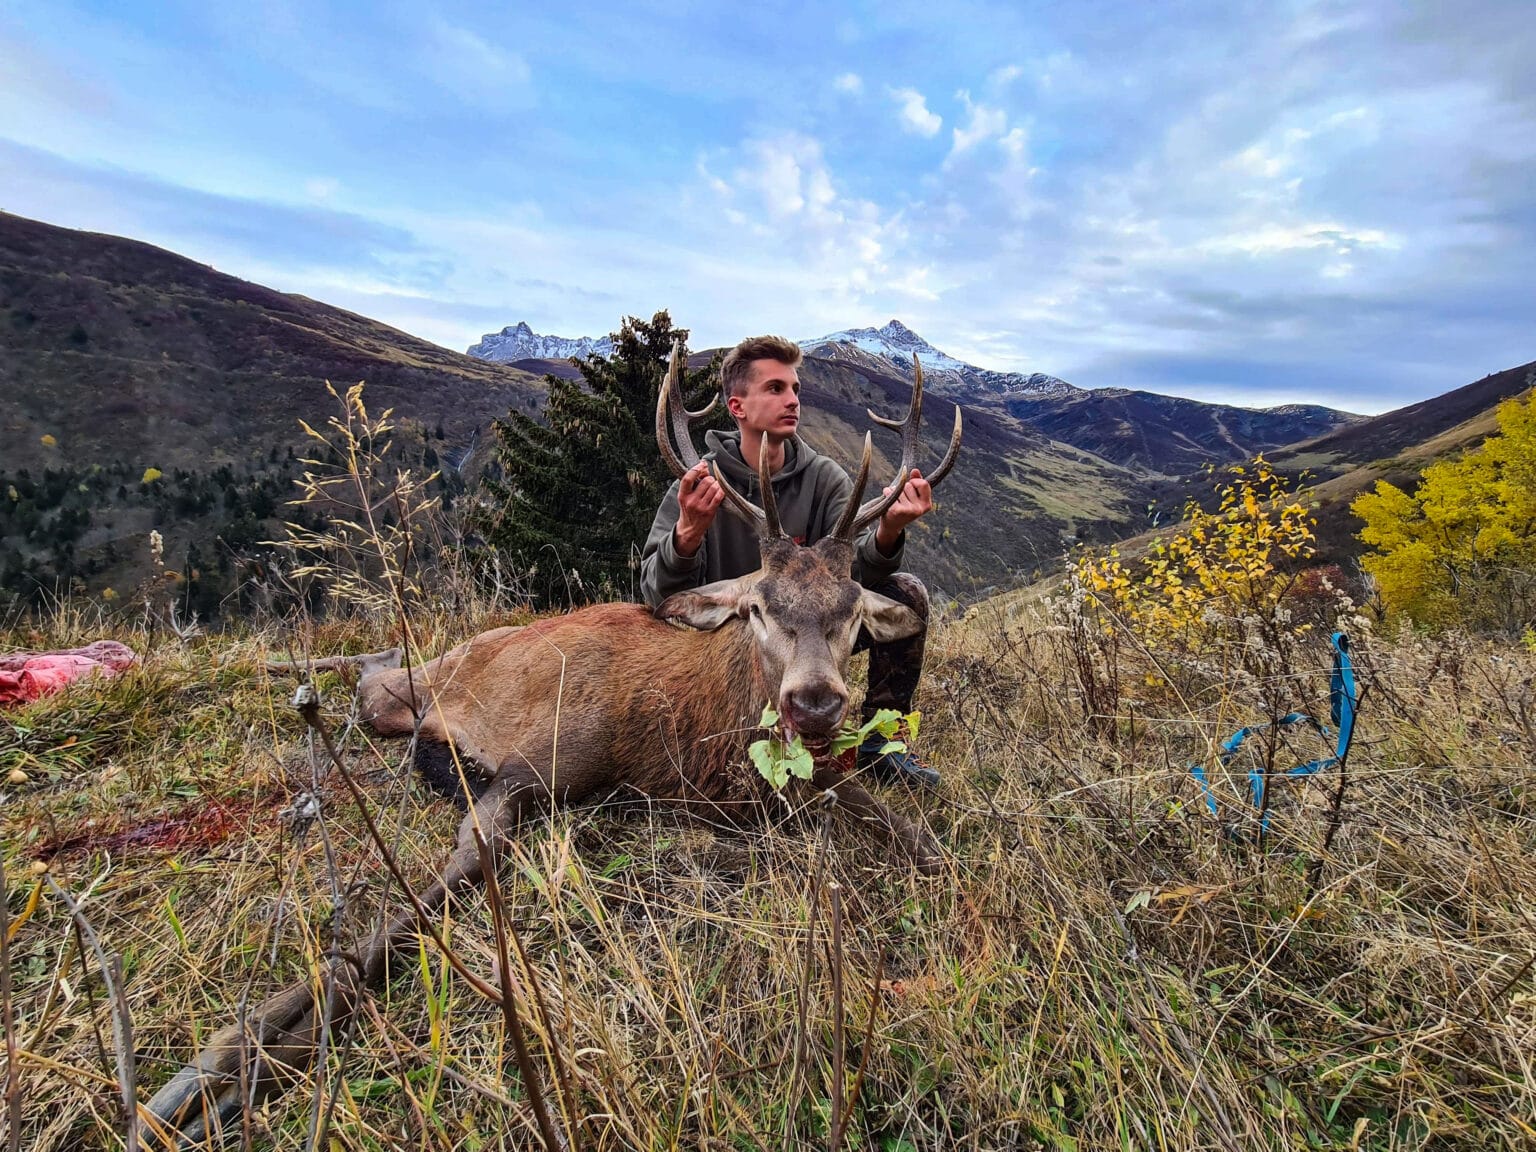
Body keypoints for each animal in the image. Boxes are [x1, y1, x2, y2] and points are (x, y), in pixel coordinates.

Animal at [143, 347, 962, 1145]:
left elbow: (922, 843)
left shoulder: (808, 777)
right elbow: (435, 895)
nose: (814, 701)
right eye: (758, 606)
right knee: (377, 673)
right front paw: (221, 1070)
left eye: (852, 610)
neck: (688, 747)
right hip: (411, 698)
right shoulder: (527, 769)